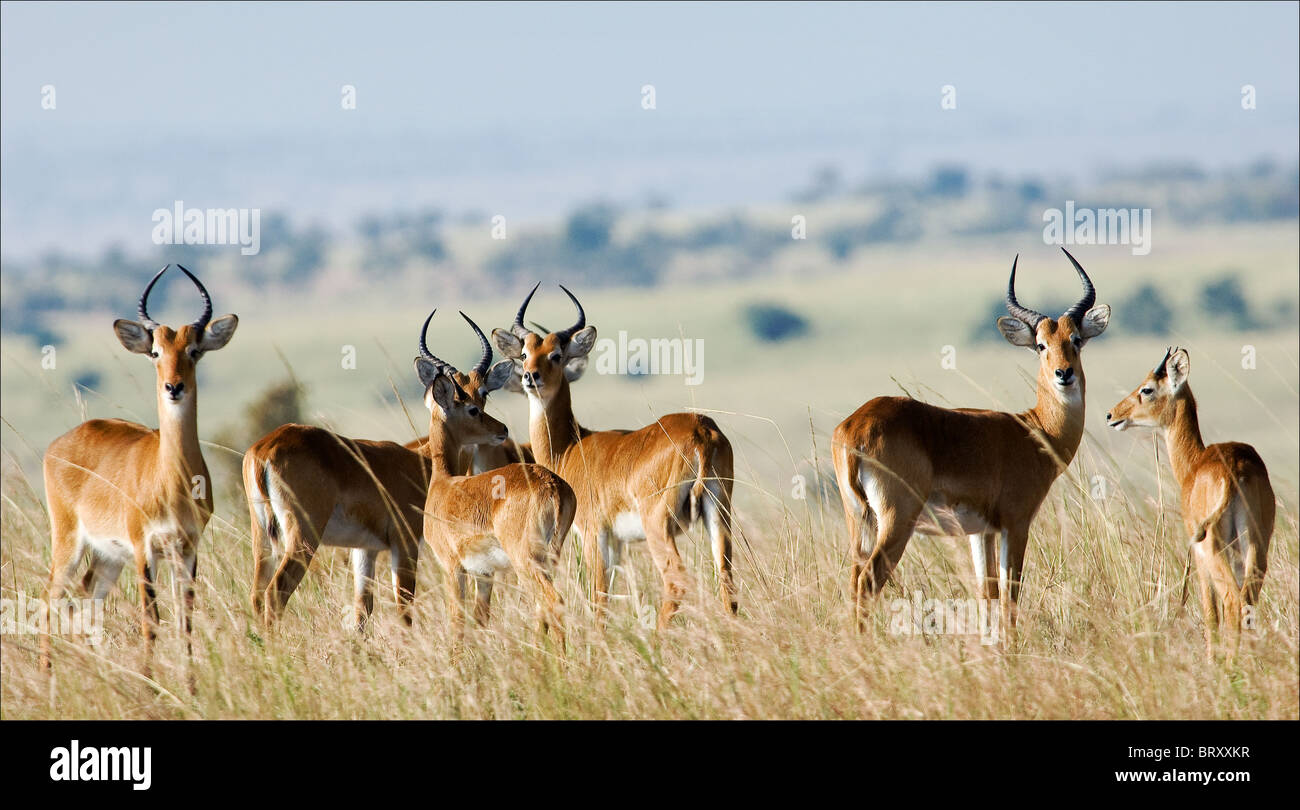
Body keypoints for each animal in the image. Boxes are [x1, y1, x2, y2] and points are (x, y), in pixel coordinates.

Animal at [41, 265, 238, 673]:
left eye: (194, 351)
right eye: (155, 352)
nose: (174, 387)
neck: (173, 480)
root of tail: (59, 444)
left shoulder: (187, 549)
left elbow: (185, 622)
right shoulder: (144, 548)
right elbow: (152, 621)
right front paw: (150, 683)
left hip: (108, 556)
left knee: (88, 593)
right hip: (69, 542)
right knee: (50, 596)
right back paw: (47, 675)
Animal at [416, 310, 576, 648]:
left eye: (482, 398)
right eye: (473, 406)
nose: (501, 429)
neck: (444, 483)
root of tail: (552, 485)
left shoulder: (453, 568)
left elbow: (457, 625)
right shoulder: (484, 574)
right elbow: (481, 620)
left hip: (526, 561)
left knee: (553, 602)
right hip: (550, 558)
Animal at [491, 284, 737, 629]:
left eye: (556, 355)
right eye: (525, 353)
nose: (530, 377)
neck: (570, 447)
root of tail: (701, 430)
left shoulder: (595, 533)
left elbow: (598, 598)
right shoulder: (619, 542)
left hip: (657, 525)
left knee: (676, 581)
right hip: (719, 513)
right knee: (727, 582)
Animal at [831, 249, 1110, 635]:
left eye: (1076, 340)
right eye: (1041, 345)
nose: (1063, 374)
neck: (1034, 430)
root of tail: (856, 427)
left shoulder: (981, 532)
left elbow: (986, 593)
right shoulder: (1016, 523)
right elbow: (1010, 594)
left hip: (859, 521)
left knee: (852, 580)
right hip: (896, 521)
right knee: (867, 582)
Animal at [1106, 347, 1274, 659]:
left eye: (1147, 388)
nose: (1112, 415)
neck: (1194, 464)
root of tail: (1235, 469)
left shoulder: (1197, 557)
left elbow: (1210, 613)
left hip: (1212, 550)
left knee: (1231, 602)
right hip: (1256, 547)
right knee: (1248, 600)